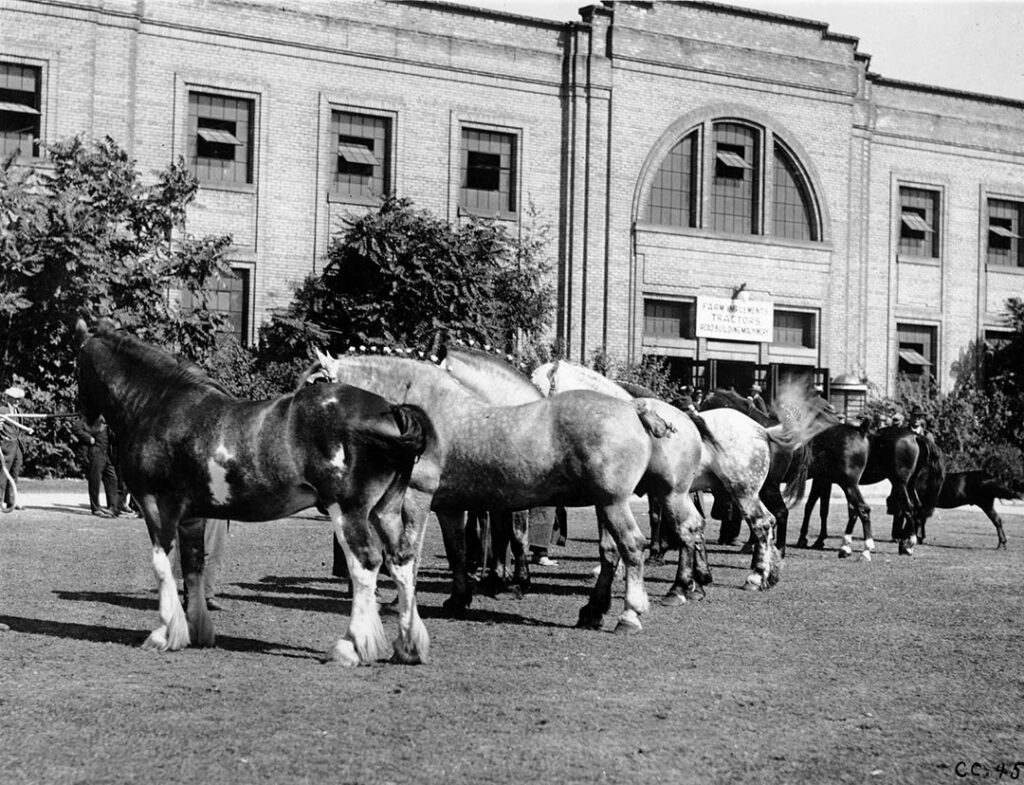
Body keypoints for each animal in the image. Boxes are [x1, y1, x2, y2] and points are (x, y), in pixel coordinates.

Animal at [76, 319, 433, 666]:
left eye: (78, 365)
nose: (87, 424)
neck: (158, 404)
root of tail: (390, 412)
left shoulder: (157, 507)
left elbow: (162, 566)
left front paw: (164, 635)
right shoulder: (191, 518)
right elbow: (193, 568)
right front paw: (196, 631)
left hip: (349, 511)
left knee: (365, 564)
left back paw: (351, 647)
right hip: (385, 511)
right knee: (402, 562)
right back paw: (408, 647)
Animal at [310, 350, 705, 631]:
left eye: (314, 381)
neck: (430, 411)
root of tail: (634, 406)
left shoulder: (417, 498)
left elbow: (408, 549)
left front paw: (399, 603)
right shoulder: (449, 506)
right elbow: (457, 551)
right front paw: (459, 599)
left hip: (618, 502)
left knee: (634, 547)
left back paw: (632, 613)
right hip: (620, 502)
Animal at [530, 360, 835, 593]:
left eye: (537, 384)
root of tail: (762, 429)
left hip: (745, 492)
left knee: (762, 523)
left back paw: (756, 575)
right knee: (768, 521)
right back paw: (767, 572)